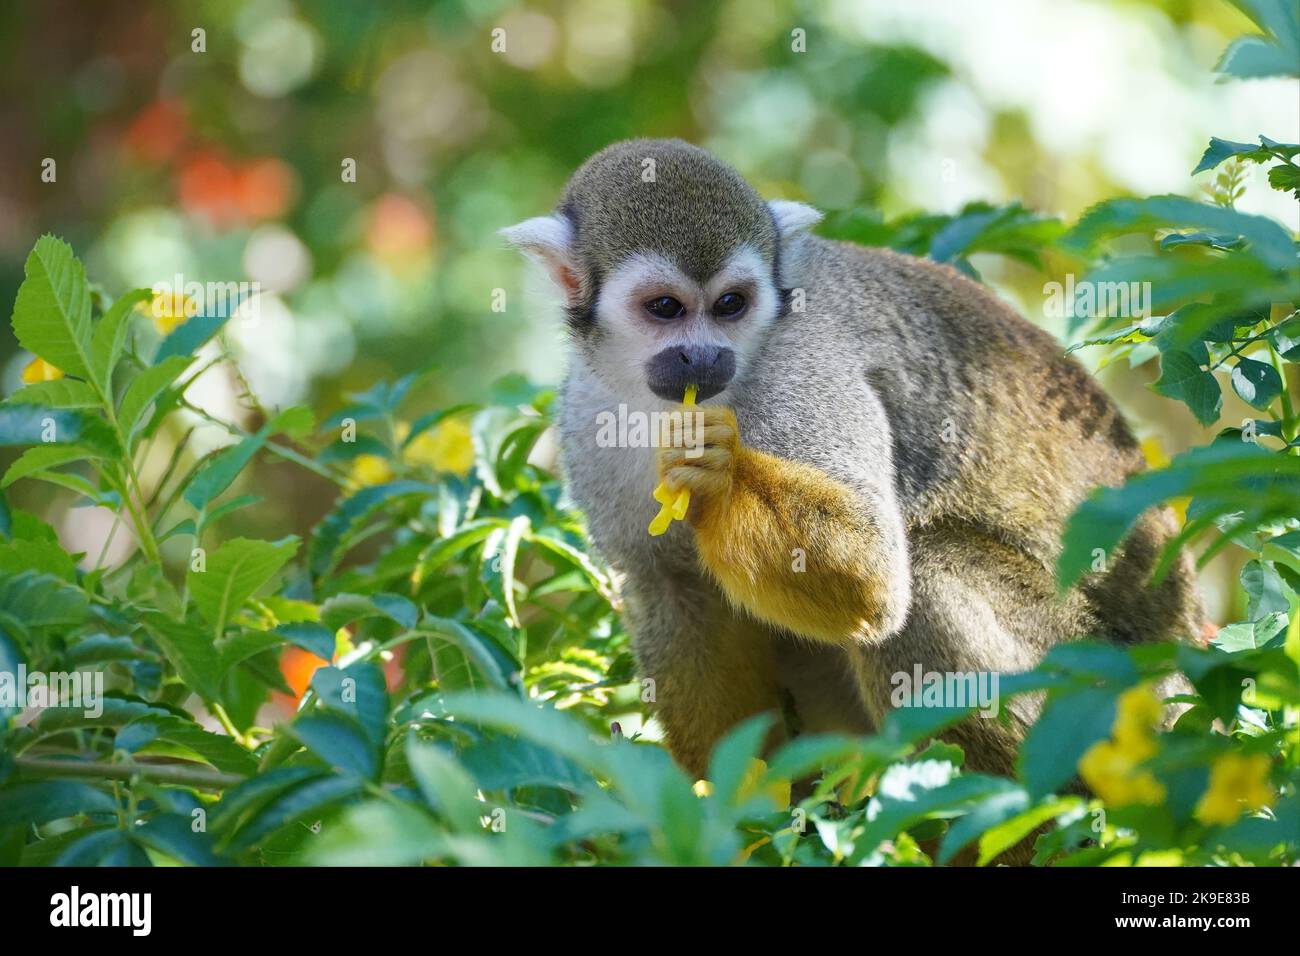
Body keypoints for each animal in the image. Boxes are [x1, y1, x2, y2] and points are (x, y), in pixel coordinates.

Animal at [502, 138, 1206, 790]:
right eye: (666, 308)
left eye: (731, 304)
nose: (704, 359)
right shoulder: (586, 413)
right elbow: (675, 593)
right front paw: (730, 805)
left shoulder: (803, 363)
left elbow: (870, 572)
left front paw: (720, 473)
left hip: (1107, 694)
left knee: (932, 576)